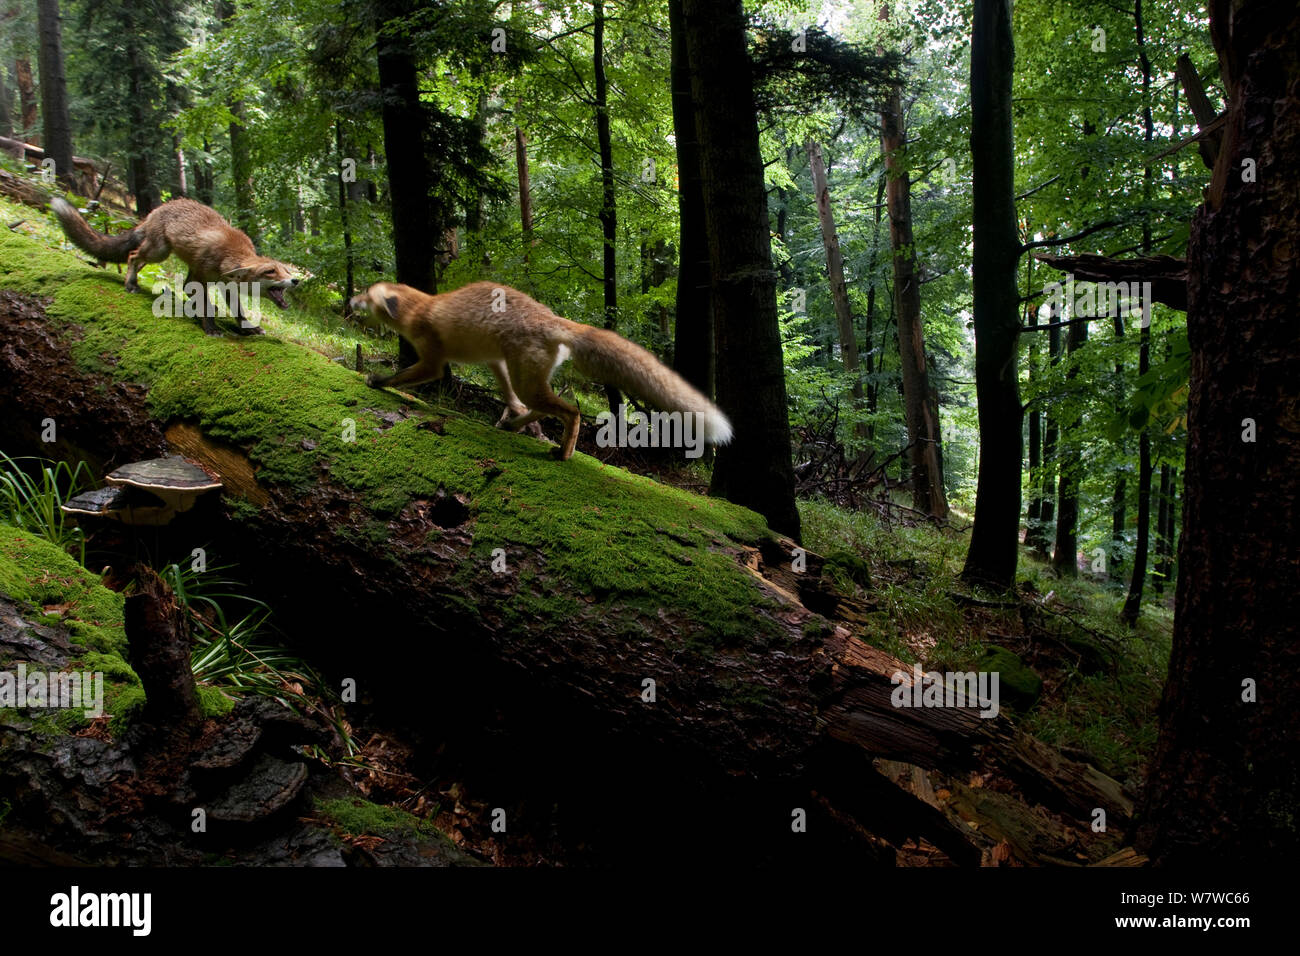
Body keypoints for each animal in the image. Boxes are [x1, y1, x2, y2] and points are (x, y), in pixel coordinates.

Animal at [50, 197, 299, 336]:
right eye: (270, 272)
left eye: (286, 270)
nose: (296, 280)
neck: (227, 254)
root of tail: (157, 209)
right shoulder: (198, 277)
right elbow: (204, 304)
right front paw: (210, 327)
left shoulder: (226, 286)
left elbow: (238, 311)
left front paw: (249, 329)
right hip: (159, 251)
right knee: (132, 256)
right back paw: (130, 284)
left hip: (159, 254)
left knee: (137, 259)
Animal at [348, 281, 733, 461]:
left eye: (367, 294)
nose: (350, 300)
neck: (422, 308)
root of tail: (552, 318)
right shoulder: (494, 361)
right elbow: (507, 396)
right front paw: (511, 415)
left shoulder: (433, 361)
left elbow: (404, 376)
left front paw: (379, 381)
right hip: (528, 376)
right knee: (540, 407)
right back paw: (516, 425)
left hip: (529, 380)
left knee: (571, 412)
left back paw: (563, 453)